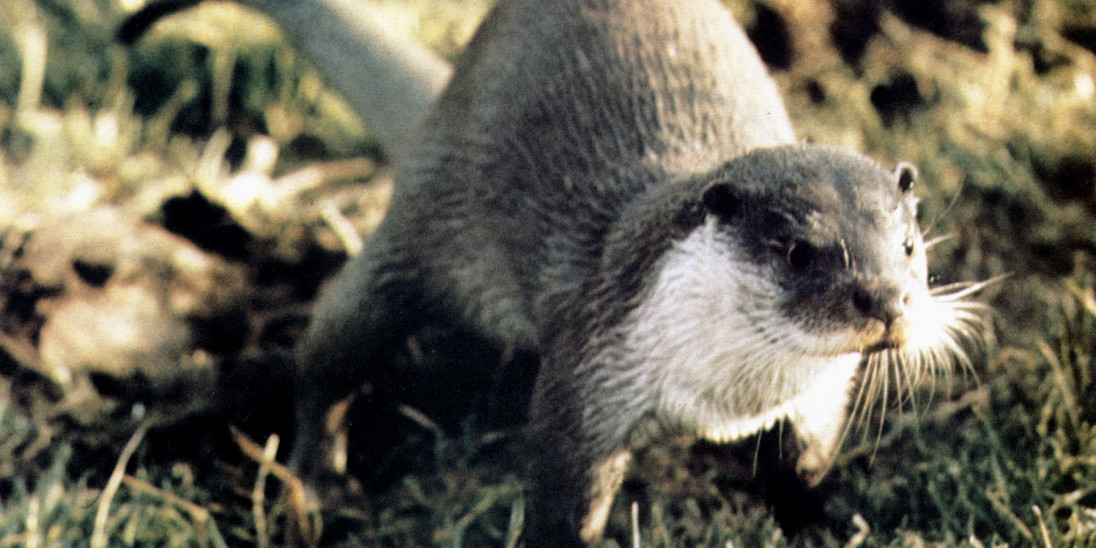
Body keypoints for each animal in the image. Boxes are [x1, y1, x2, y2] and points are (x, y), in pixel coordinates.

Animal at [122, 0, 982, 545]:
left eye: (908, 245)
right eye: (801, 250)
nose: (888, 301)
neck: (727, 396)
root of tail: (451, 88)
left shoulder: (817, 394)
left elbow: (804, 461)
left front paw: (823, 520)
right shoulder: (590, 372)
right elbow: (561, 496)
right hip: (424, 232)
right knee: (333, 343)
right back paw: (318, 484)